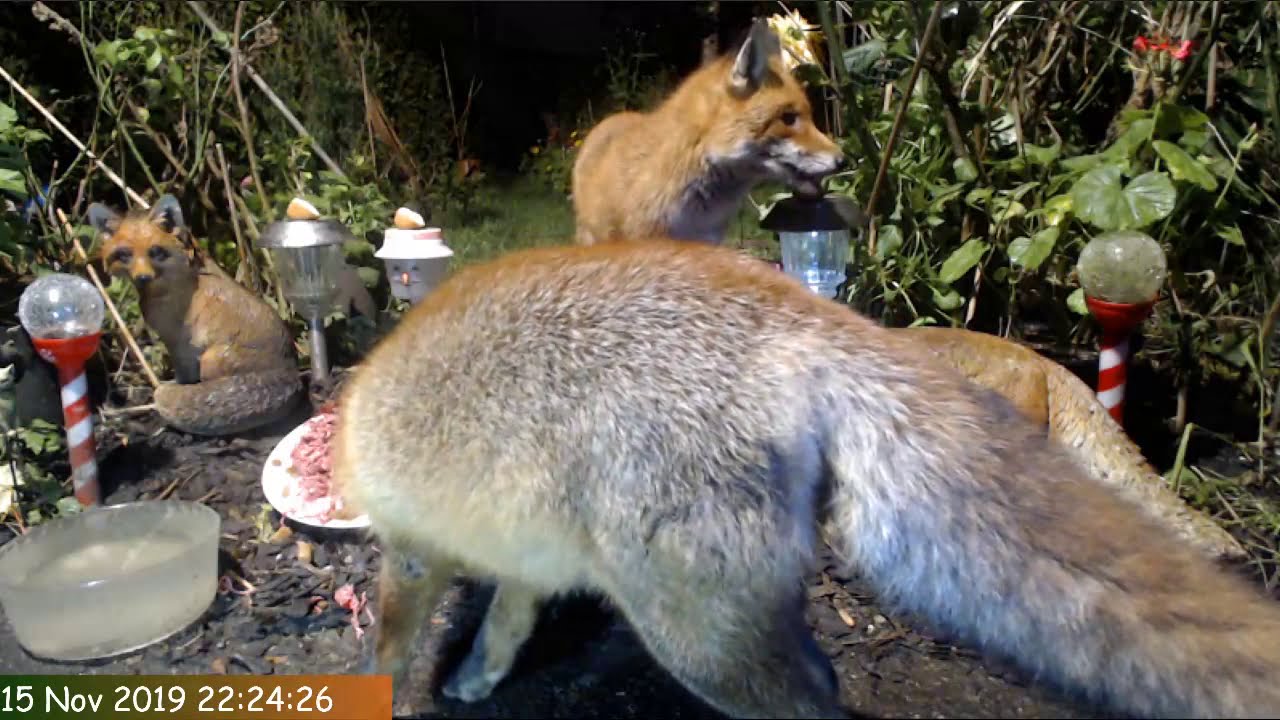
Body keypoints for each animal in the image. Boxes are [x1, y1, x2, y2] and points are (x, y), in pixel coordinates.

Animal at [88, 195, 304, 436]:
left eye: (155, 252)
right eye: (125, 255)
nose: (142, 277)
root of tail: (291, 372)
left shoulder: (178, 341)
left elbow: (184, 378)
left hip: (211, 359)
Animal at [335, 238, 1280, 719]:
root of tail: (807, 312)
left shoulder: (410, 550)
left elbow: (390, 641)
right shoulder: (524, 564)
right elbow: (502, 628)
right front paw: (477, 679)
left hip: (696, 639)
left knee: (814, 702)